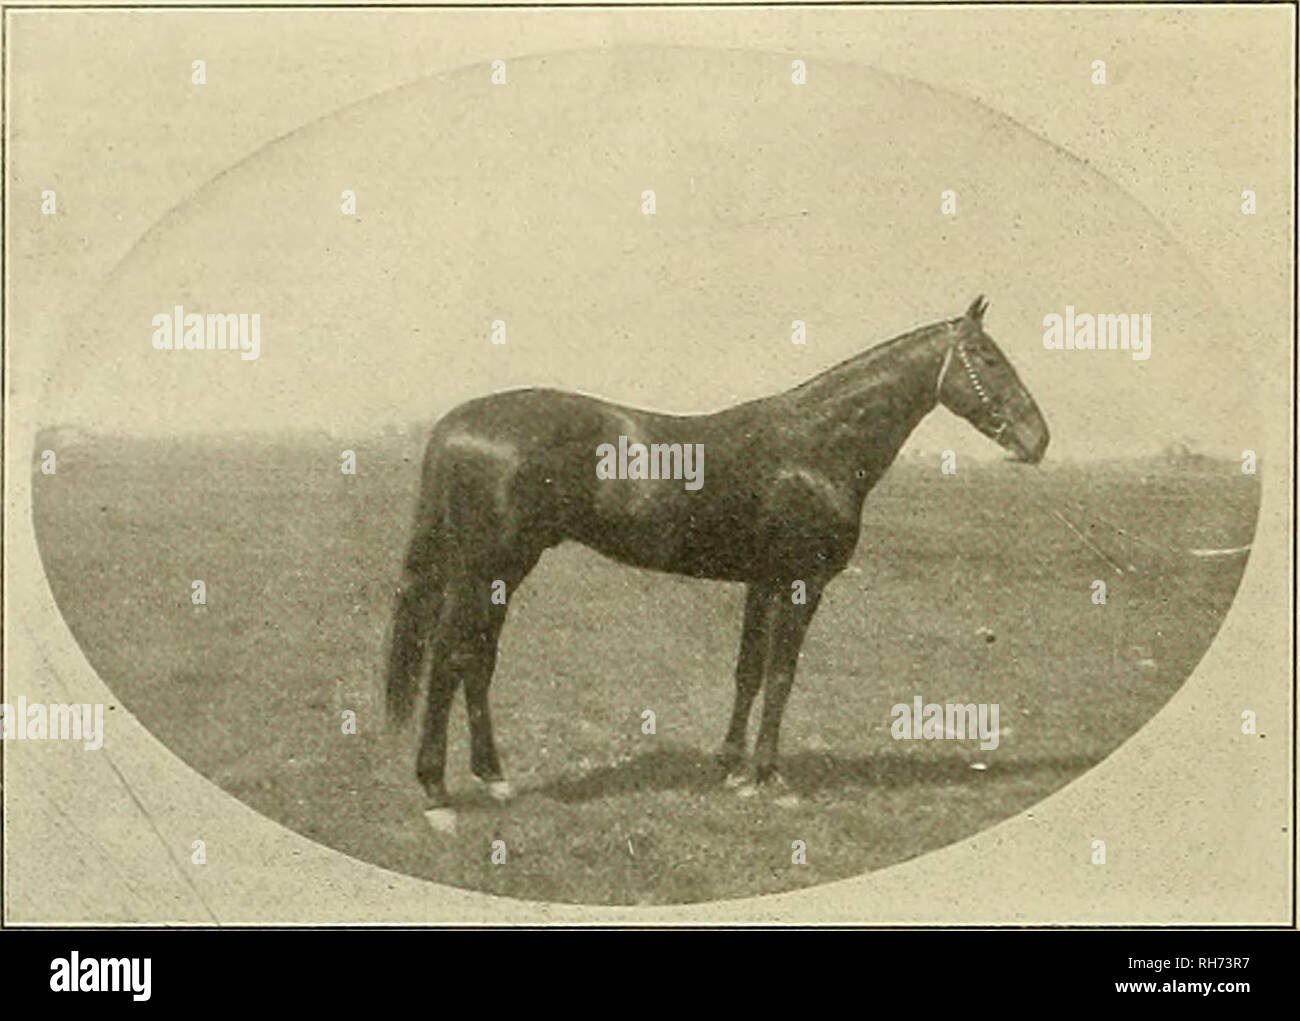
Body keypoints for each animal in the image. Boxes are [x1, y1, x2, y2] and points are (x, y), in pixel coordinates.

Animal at [385, 297, 1049, 819]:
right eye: (988, 358)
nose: (1037, 440)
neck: (815, 448)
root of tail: (455, 423)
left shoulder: (764, 581)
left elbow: (748, 671)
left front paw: (731, 767)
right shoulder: (803, 583)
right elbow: (781, 675)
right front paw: (770, 778)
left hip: (507, 569)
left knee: (478, 660)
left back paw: (495, 778)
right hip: (487, 566)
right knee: (451, 657)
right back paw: (437, 791)